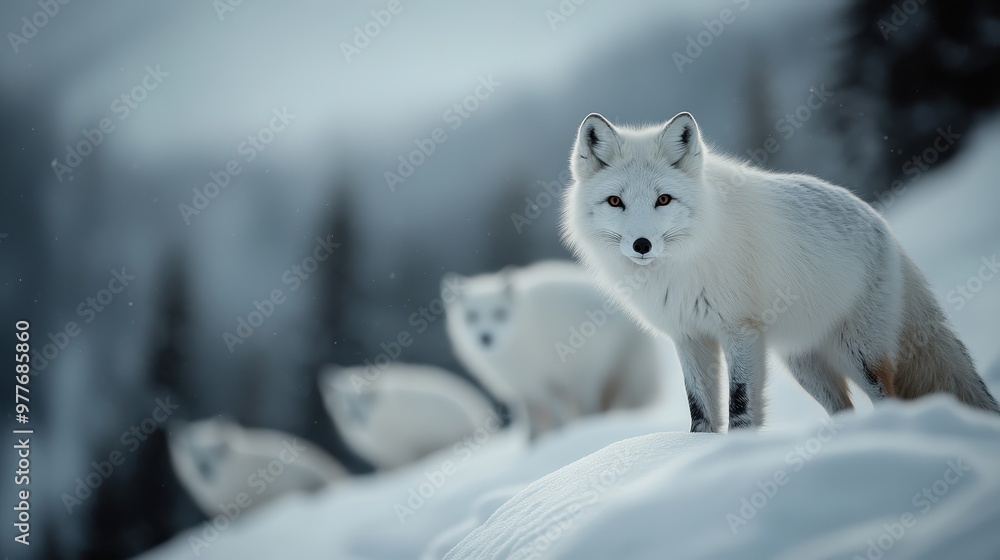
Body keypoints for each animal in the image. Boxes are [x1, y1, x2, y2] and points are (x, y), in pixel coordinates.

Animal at [443, 261, 666, 439]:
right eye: (471, 316)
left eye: (500, 314)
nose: (485, 337)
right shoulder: (522, 388)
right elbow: (530, 423)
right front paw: (531, 446)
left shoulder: (545, 383)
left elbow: (555, 415)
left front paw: (555, 438)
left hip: (588, 376)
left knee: (591, 408)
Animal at [560, 111, 1000, 432]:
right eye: (615, 201)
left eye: (663, 200)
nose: (642, 245)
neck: (683, 264)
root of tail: (883, 225)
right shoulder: (689, 335)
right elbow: (700, 411)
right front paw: (700, 452)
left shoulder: (739, 331)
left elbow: (739, 405)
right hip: (803, 363)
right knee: (843, 409)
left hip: (859, 354)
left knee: (885, 399)